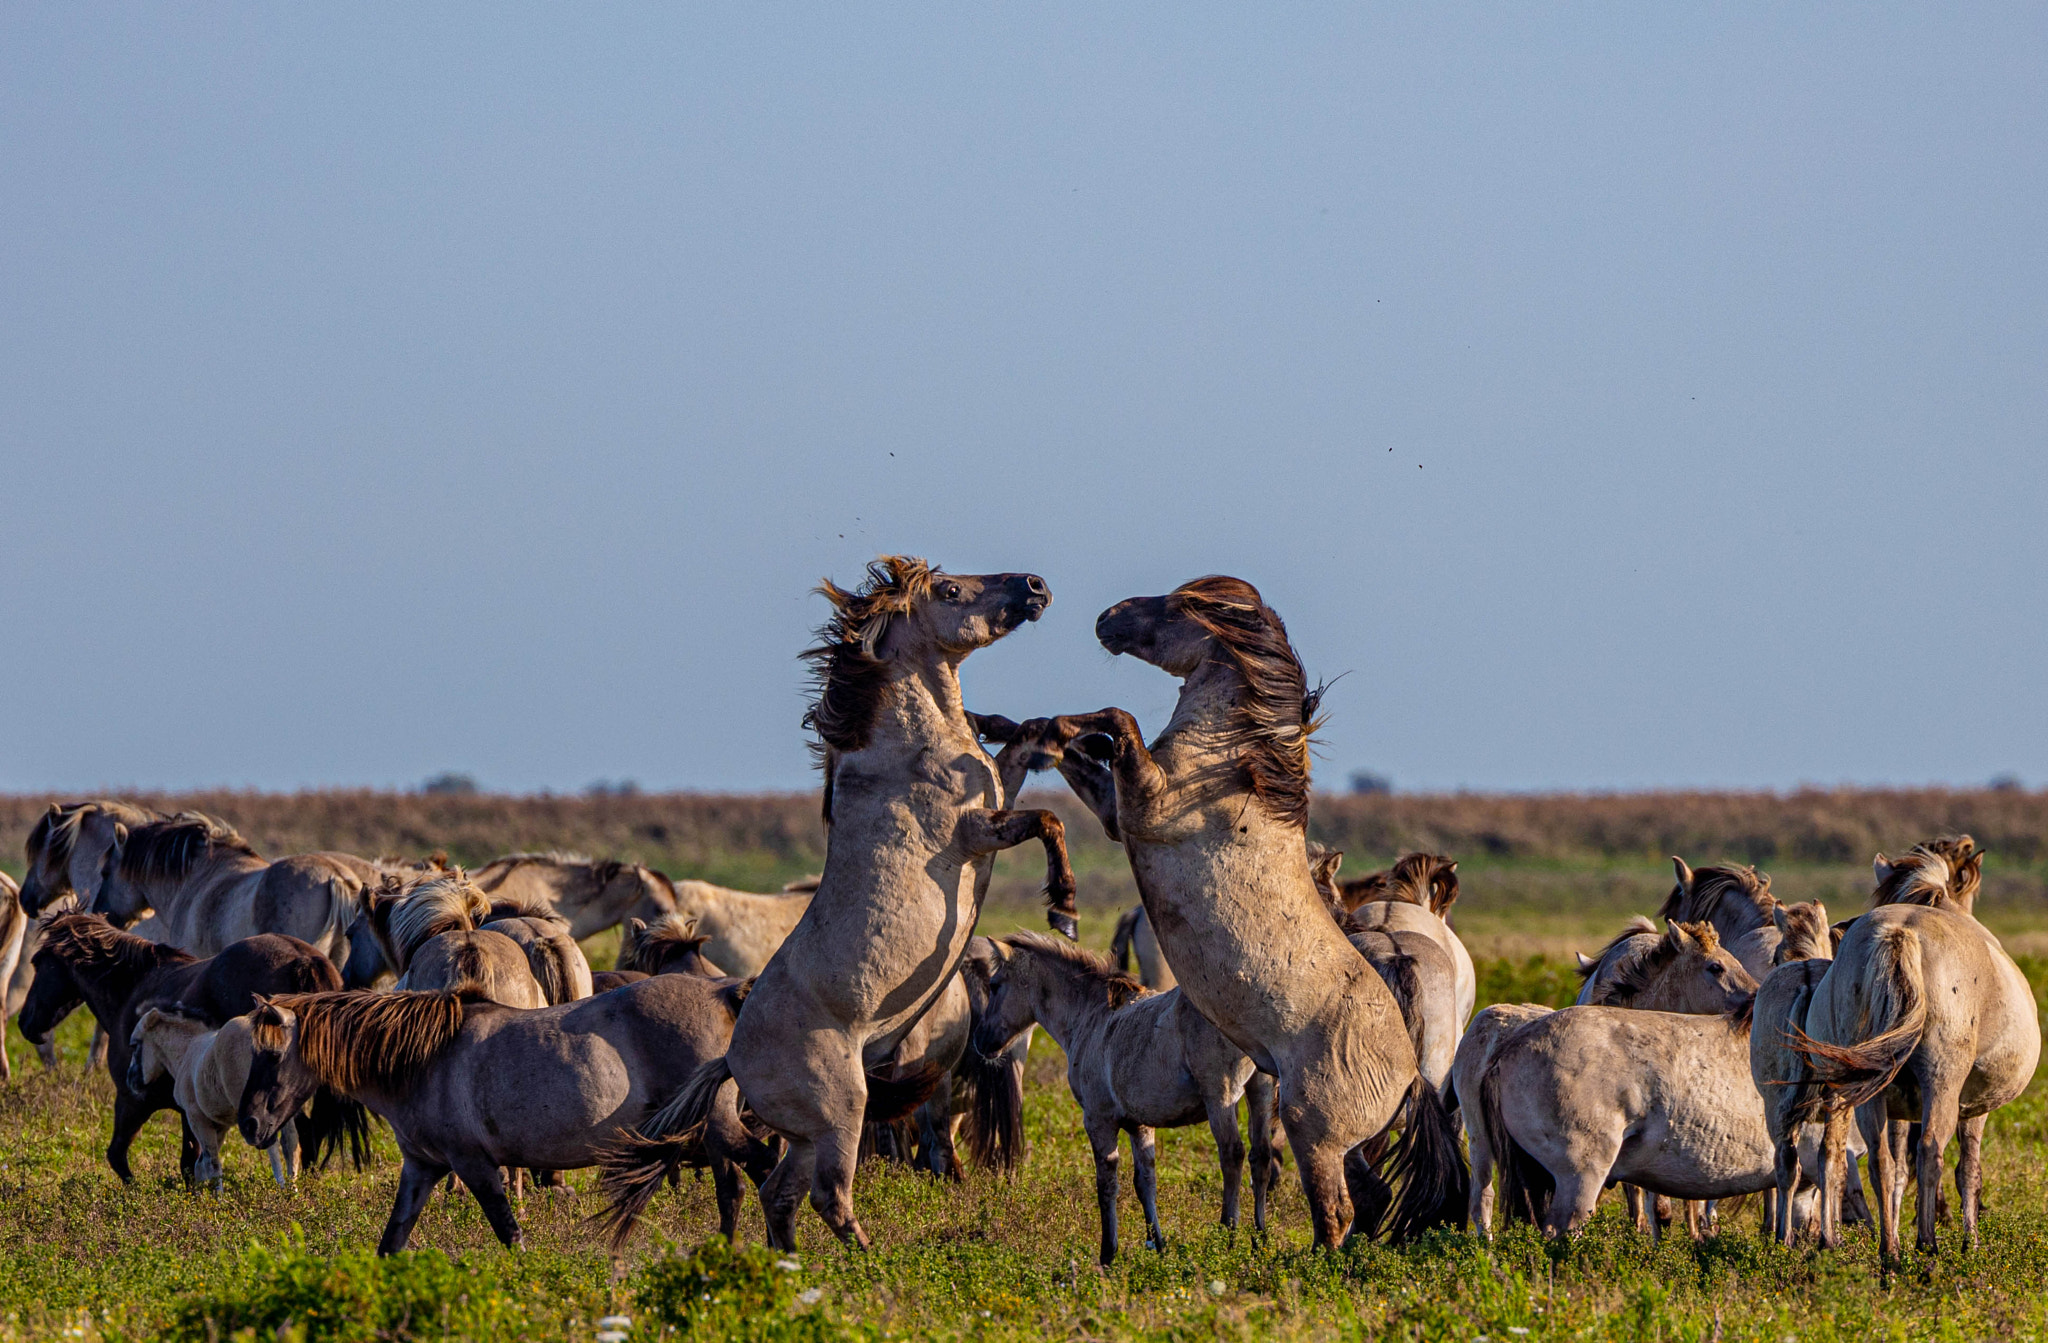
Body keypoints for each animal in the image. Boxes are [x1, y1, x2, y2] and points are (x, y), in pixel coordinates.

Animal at [128, 1006, 301, 1188]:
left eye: (134, 1044)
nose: (130, 1081)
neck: (188, 1051)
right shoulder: (220, 1125)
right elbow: (202, 1164)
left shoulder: (196, 1117)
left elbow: (212, 1163)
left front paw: (216, 1195)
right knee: (290, 1143)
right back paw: (292, 1189)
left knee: (268, 1141)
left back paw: (281, 1187)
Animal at [237, 975, 778, 1253]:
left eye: (272, 1054)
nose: (250, 1125)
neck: (426, 1060)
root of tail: (723, 992)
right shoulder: (422, 1168)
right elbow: (392, 1240)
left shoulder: (474, 1166)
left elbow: (509, 1233)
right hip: (709, 1131)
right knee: (736, 1189)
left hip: (717, 1125)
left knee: (764, 1170)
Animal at [970, 933, 1276, 1264]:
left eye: (995, 984)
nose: (980, 1041)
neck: (1092, 1017)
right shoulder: (1139, 1124)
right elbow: (1145, 1183)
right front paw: (1158, 1245)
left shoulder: (1098, 1119)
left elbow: (1106, 1184)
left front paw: (1108, 1253)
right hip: (1260, 1091)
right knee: (1261, 1156)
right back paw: (1260, 1240)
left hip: (1220, 1095)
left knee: (1232, 1154)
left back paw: (1226, 1238)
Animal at [1010, 575, 1466, 1247]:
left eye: (1179, 606)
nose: (1106, 617)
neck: (1231, 765)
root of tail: (1411, 1073)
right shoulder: (1121, 814)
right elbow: (1091, 757)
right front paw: (1033, 730)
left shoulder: (1146, 801)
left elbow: (1118, 719)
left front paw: (1055, 730)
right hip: (1341, 1138)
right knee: (1370, 1196)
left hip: (1308, 1125)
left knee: (1335, 1207)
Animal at [1791, 849, 2040, 1259]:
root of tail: (1901, 933)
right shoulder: (1975, 1108)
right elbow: (1968, 1173)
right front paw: (1970, 1242)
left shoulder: (1898, 1105)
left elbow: (1896, 1172)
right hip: (1942, 1084)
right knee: (1930, 1152)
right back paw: (1927, 1246)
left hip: (1862, 1091)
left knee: (1868, 1159)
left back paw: (1882, 1252)